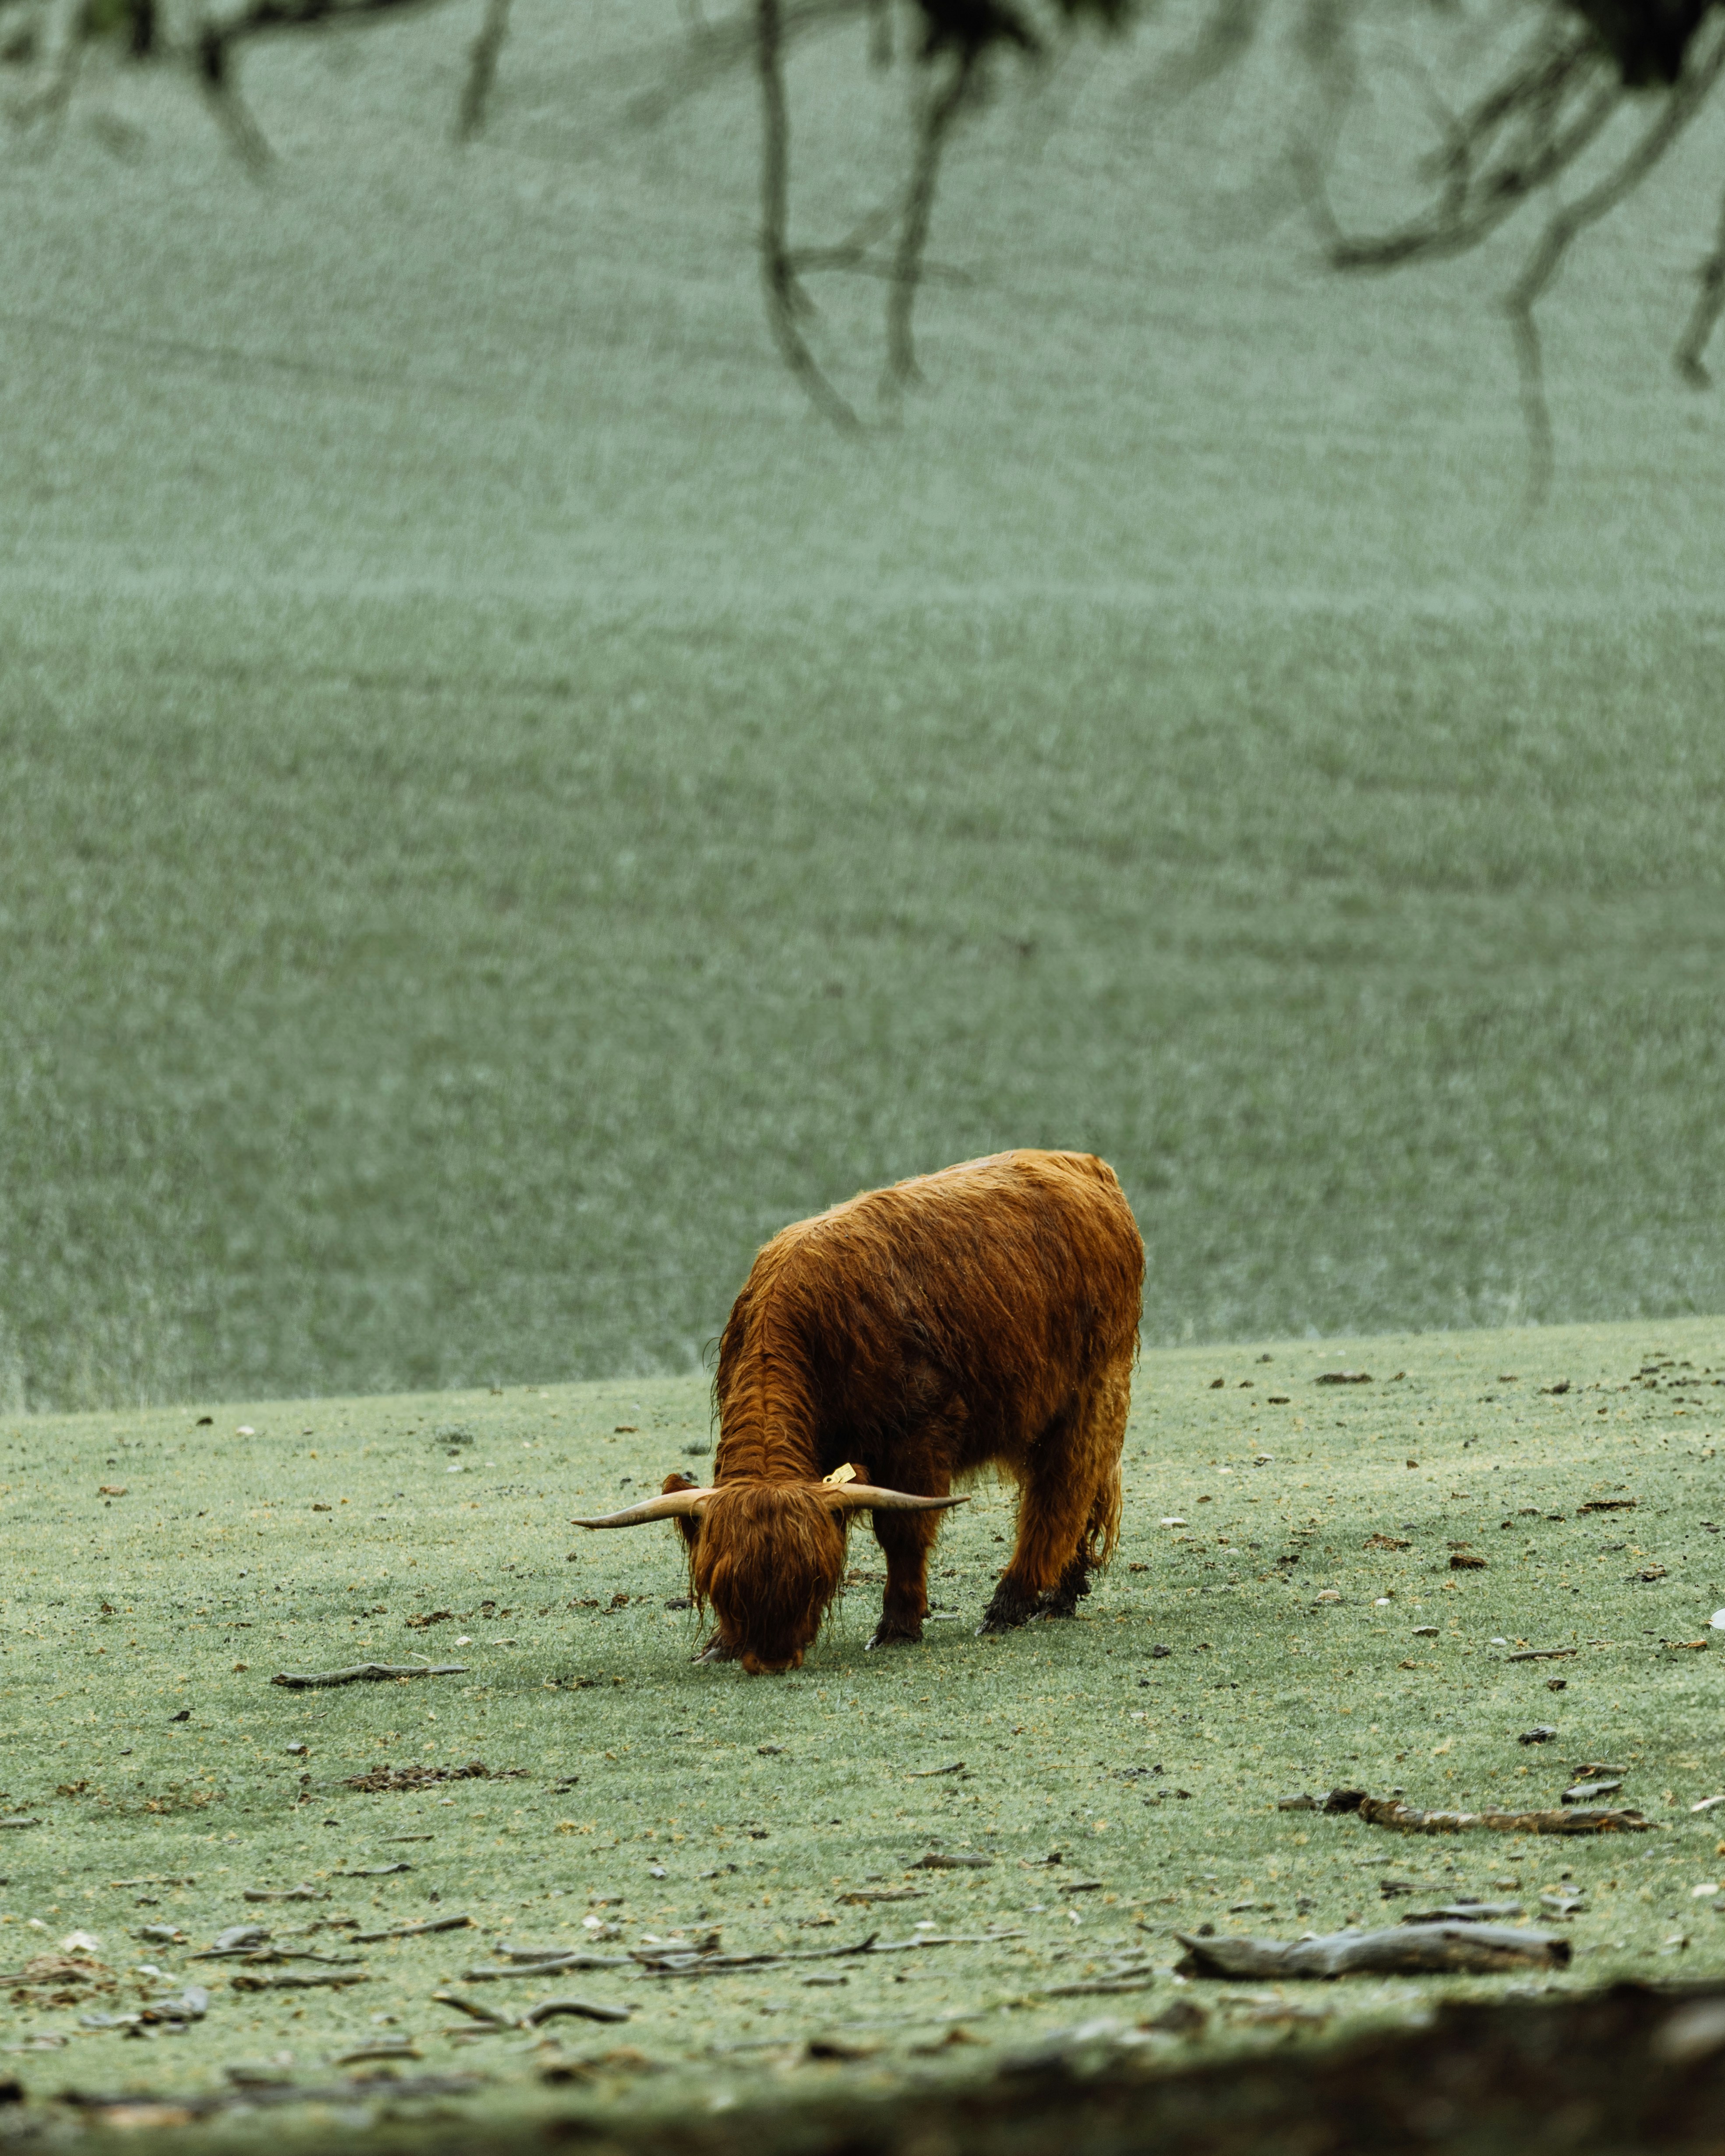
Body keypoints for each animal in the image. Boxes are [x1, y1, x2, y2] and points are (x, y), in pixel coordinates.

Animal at [572, 1149, 1144, 1674]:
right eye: (724, 1584)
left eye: (812, 1581)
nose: (770, 1659)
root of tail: (1082, 1162)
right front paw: (720, 1644)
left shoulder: (919, 1434)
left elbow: (903, 1532)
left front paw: (897, 1627)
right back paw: (1061, 1594)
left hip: (1091, 1390)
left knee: (1061, 1490)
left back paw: (1011, 1603)